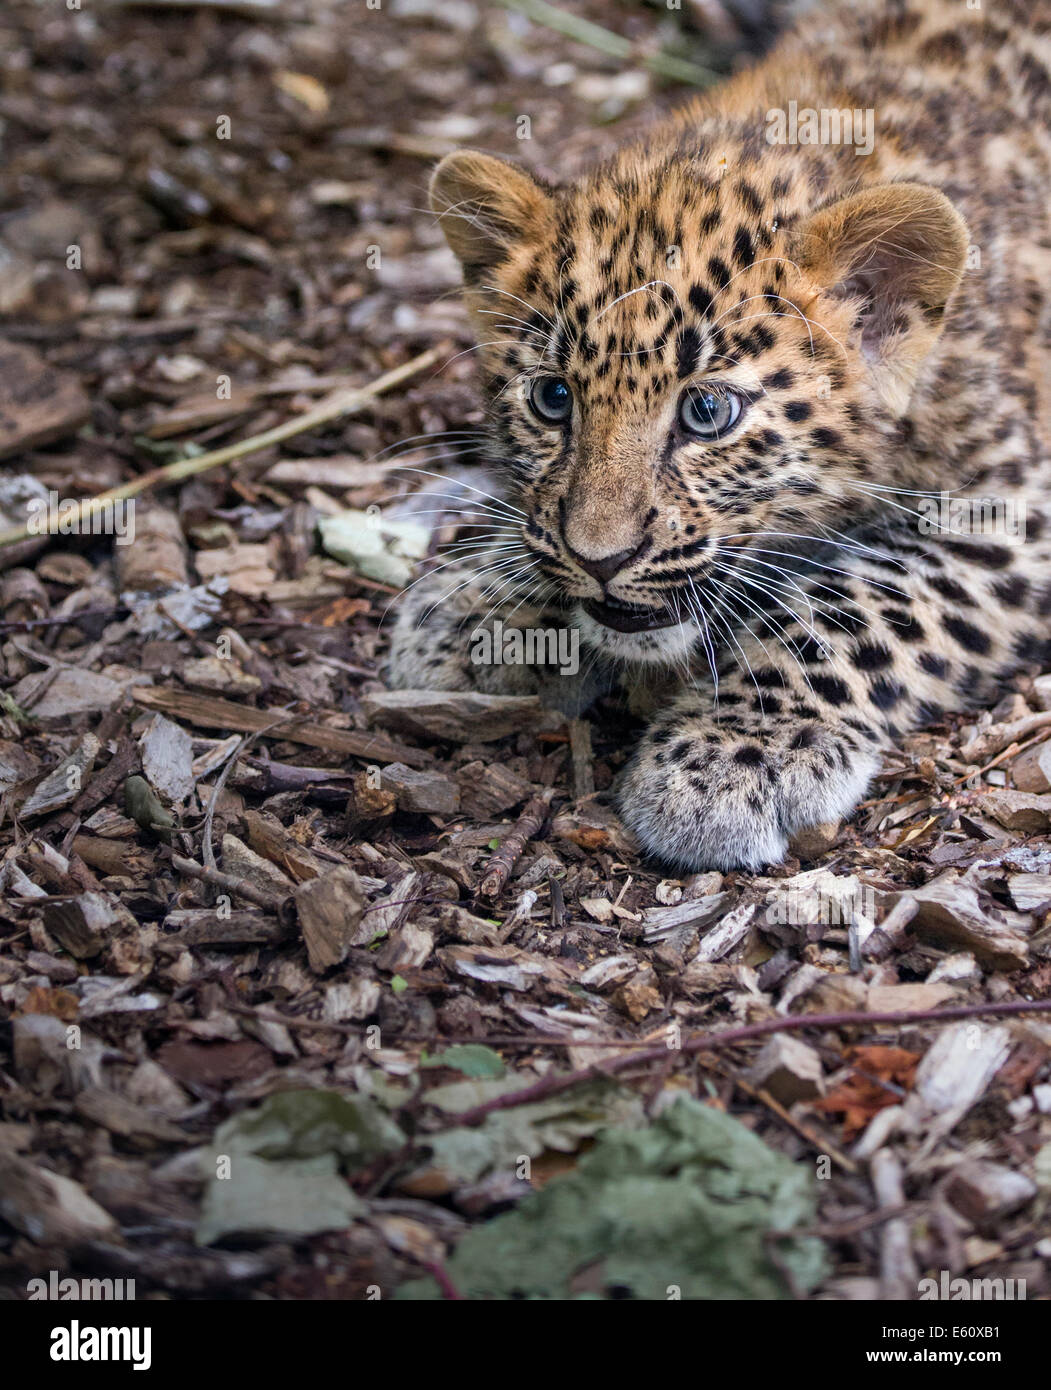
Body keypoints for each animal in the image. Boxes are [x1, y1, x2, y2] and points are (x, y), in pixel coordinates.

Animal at [388, 0, 1051, 873]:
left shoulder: (1012, 510)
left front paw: (732, 754)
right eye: (552, 398)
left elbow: (853, 607)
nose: (600, 559)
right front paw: (476, 607)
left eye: (707, 413)